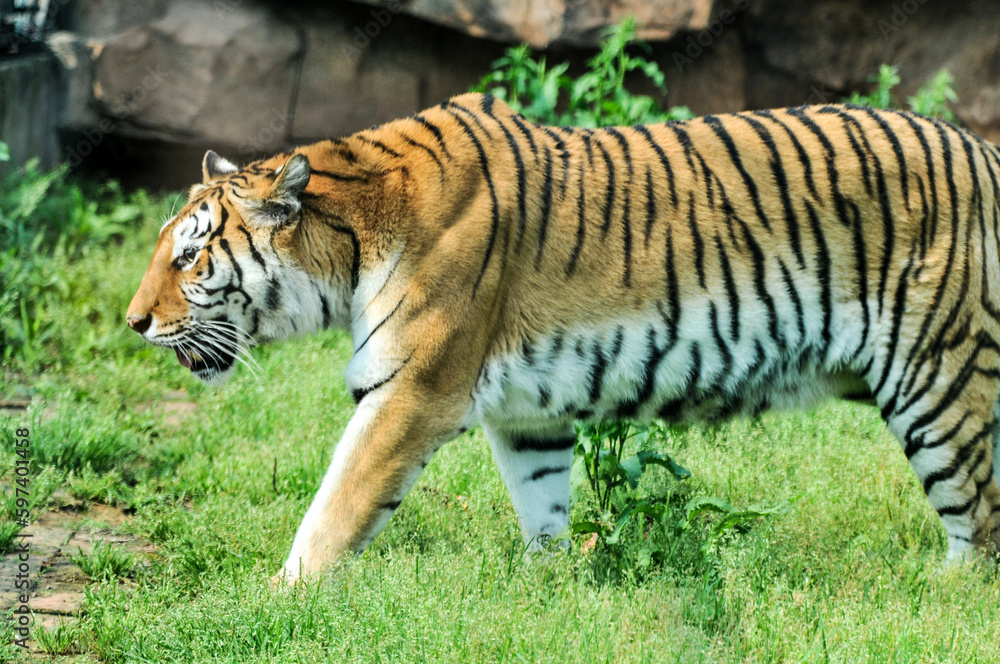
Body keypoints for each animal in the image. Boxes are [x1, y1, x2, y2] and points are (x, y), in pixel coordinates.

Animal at [126, 92, 1000, 583]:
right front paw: (548, 586)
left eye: (190, 255)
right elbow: (542, 501)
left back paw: (939, 592)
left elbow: (336, 507)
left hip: (939, 376)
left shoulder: (411, 392)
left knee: (980, 521)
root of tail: (983, 148)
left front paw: (281, 598)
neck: (350, 241)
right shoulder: (528, 410)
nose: (135, 322)